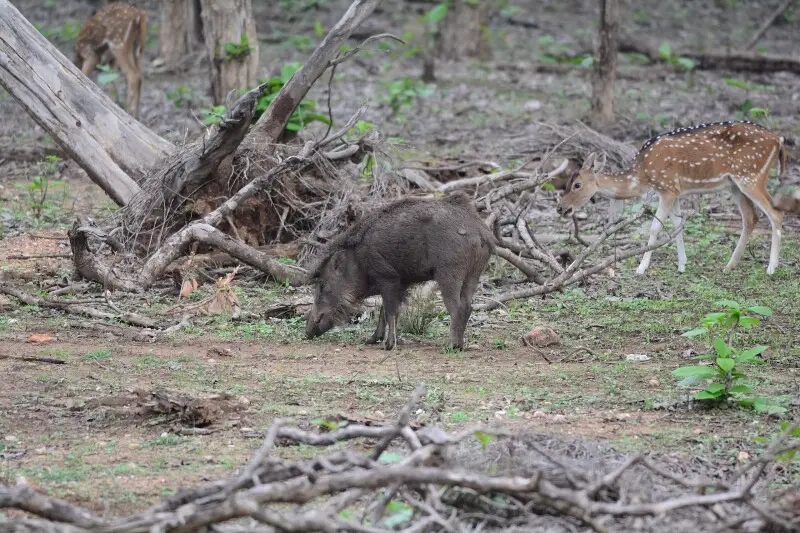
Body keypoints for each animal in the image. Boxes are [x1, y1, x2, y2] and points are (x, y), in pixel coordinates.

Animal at [305, 192, 496, 350]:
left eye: (322, 285)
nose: (307, 333)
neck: (358, 261)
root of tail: (483, 232)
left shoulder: (388, 278)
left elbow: (390, 312)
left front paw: (389, 345)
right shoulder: (400, 283)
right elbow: (384, 311)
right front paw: (371, 340)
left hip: (449, 272)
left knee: (458, 306)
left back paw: (450, 346)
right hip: (474, 273)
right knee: (469, 305)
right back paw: (460, 345)